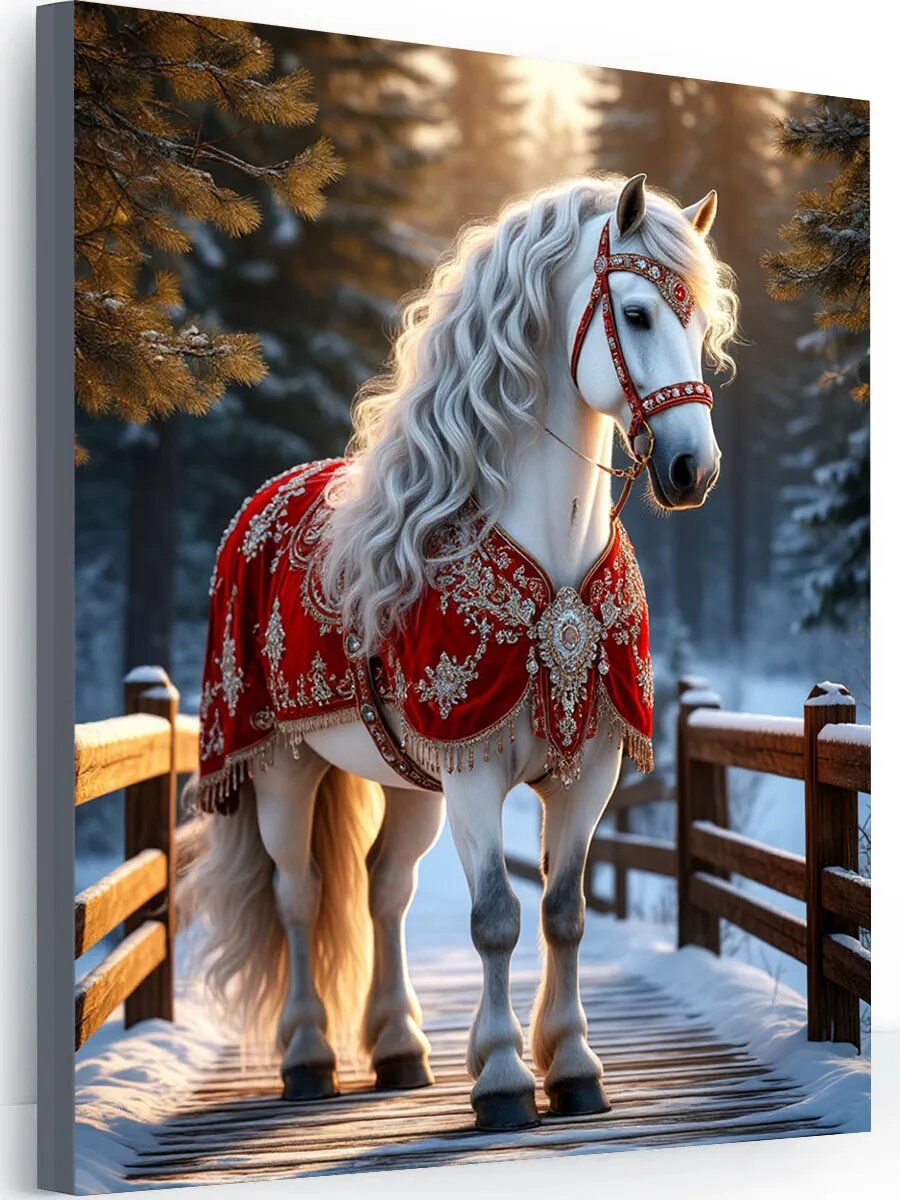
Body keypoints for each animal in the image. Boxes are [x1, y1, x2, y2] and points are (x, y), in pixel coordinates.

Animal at [181, 173, 739, 1131]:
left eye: (701, 323)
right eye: (634, 313)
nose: (689, 469)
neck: (551, 550)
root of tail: (260, 504)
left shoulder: (588, 770)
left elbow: (563, 913)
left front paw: (574, 1065)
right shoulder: (476, 769)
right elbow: (496, 920)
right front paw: (505, 1080)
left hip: (409, 781)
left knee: (383, 888)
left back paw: (400, 1048)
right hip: (281, 765)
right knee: (300, 895)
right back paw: (308, 1055)